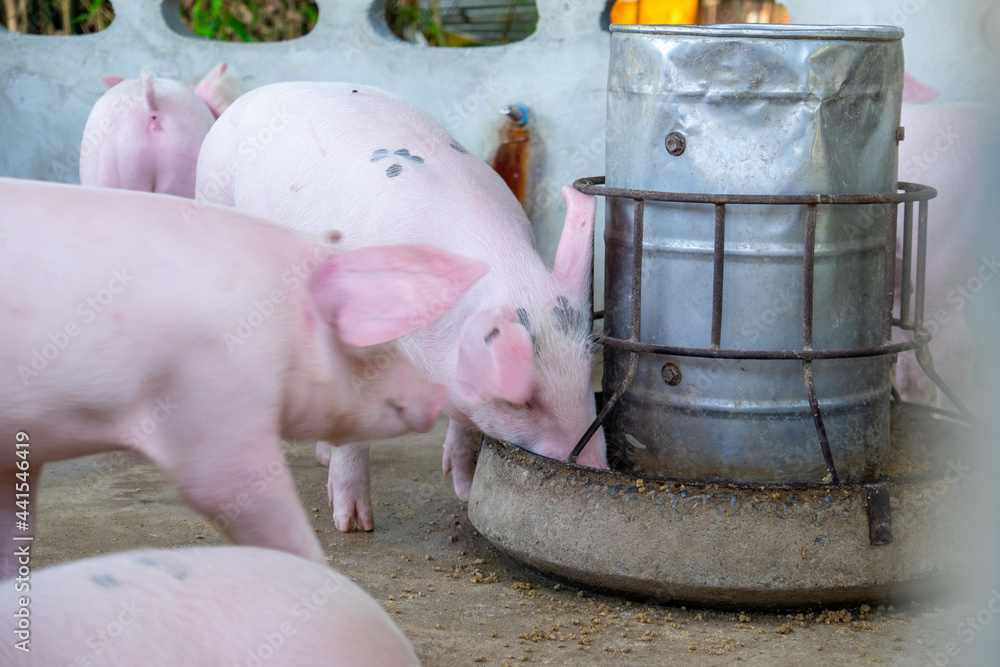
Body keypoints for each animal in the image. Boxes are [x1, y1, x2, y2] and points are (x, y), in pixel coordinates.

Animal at [195, 82, 607, 533]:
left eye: (586, 373)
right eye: (521, 399)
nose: (597, 466)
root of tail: (252, 95)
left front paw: (464, 490)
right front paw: (354, 525)